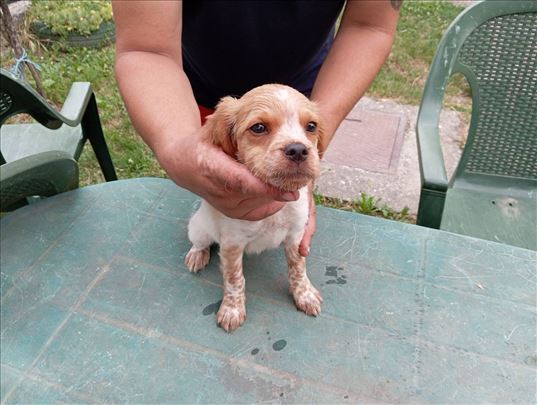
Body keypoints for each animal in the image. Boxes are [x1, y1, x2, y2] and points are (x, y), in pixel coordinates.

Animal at [184, 83, 322, 332]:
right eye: (258, 127)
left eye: (311, 126)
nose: (298, 150)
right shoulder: (232, 244)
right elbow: (235, 279)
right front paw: (232, 310)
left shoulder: (296, 236)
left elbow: (298, 268)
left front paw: (304, 295)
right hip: (199, 227)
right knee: (200, 242)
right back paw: (197, 255)